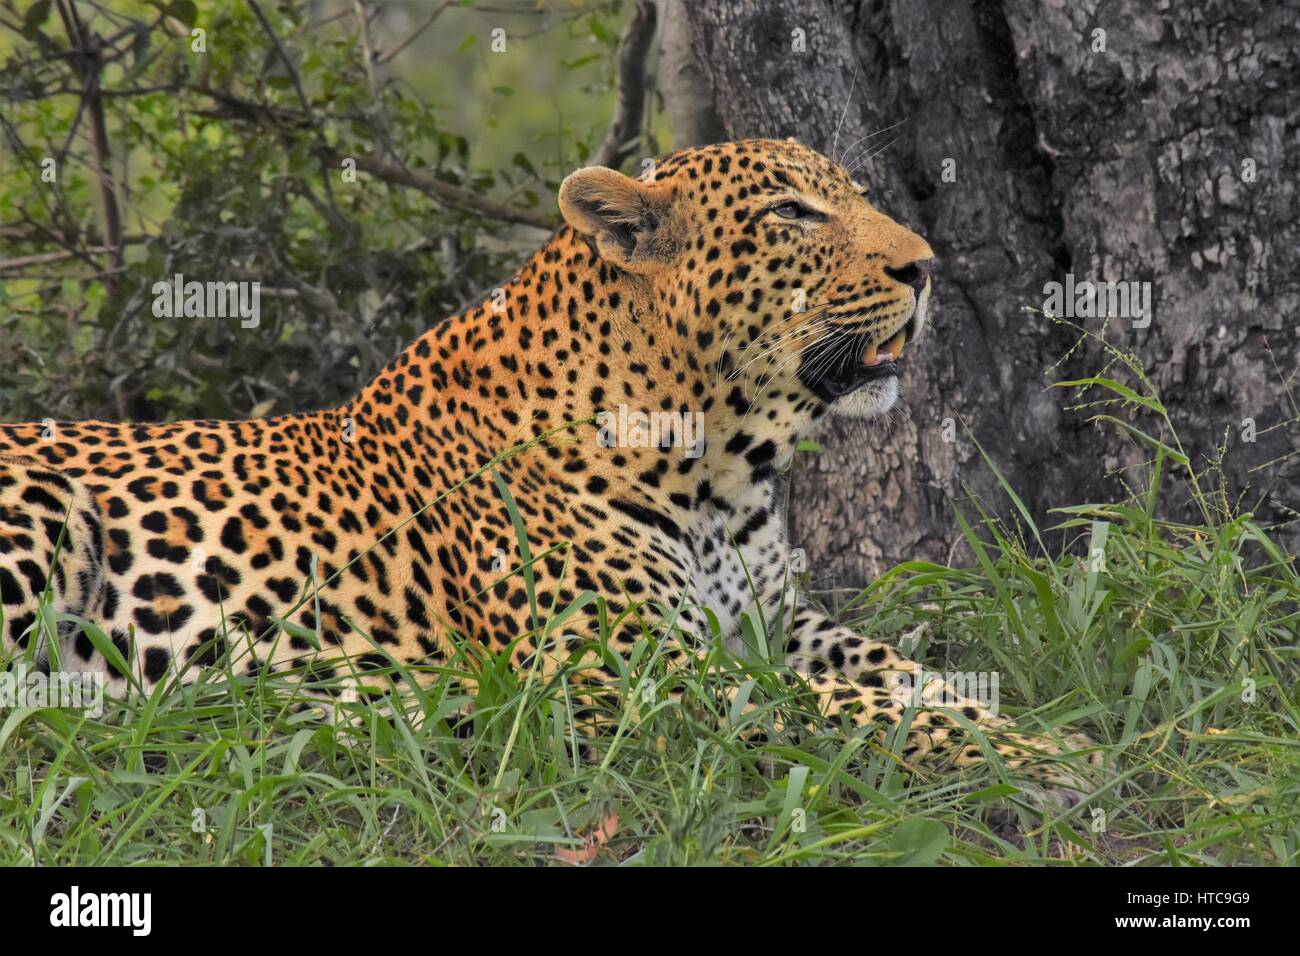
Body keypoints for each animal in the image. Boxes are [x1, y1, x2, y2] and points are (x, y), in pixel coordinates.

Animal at [0, 138, 1099, 792]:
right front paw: (1046, 759)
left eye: (855, 200)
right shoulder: (627, 670)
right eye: (791, 213)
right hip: (41, 517)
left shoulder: (774, 623)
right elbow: (854, 711)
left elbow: (913, 680)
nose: (925, 266)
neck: (722, 463)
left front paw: (1060, 730)